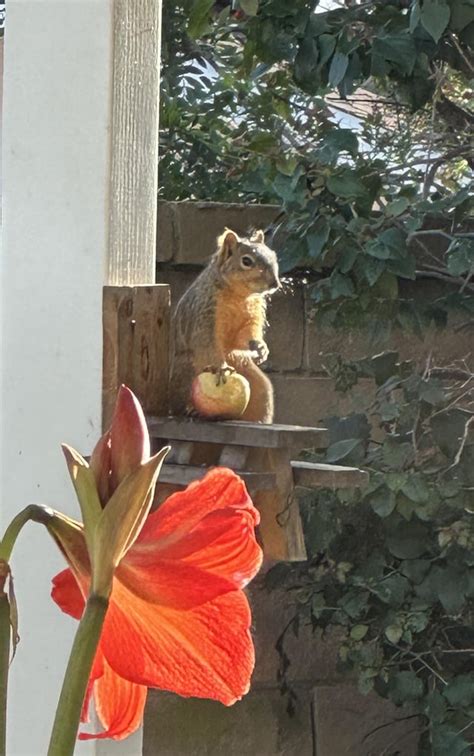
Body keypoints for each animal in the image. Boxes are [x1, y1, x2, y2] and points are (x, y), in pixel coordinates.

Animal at [170, 227, 280, 424]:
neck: (240, 295)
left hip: (256, 384)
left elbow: (245, 335)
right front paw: (220, 367)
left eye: (273, 256)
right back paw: (192, 410)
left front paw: (260, 347)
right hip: (187, 373)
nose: (275, 283)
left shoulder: (252, 317)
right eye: (246, 261)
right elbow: (207, 343)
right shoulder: (205, 316)